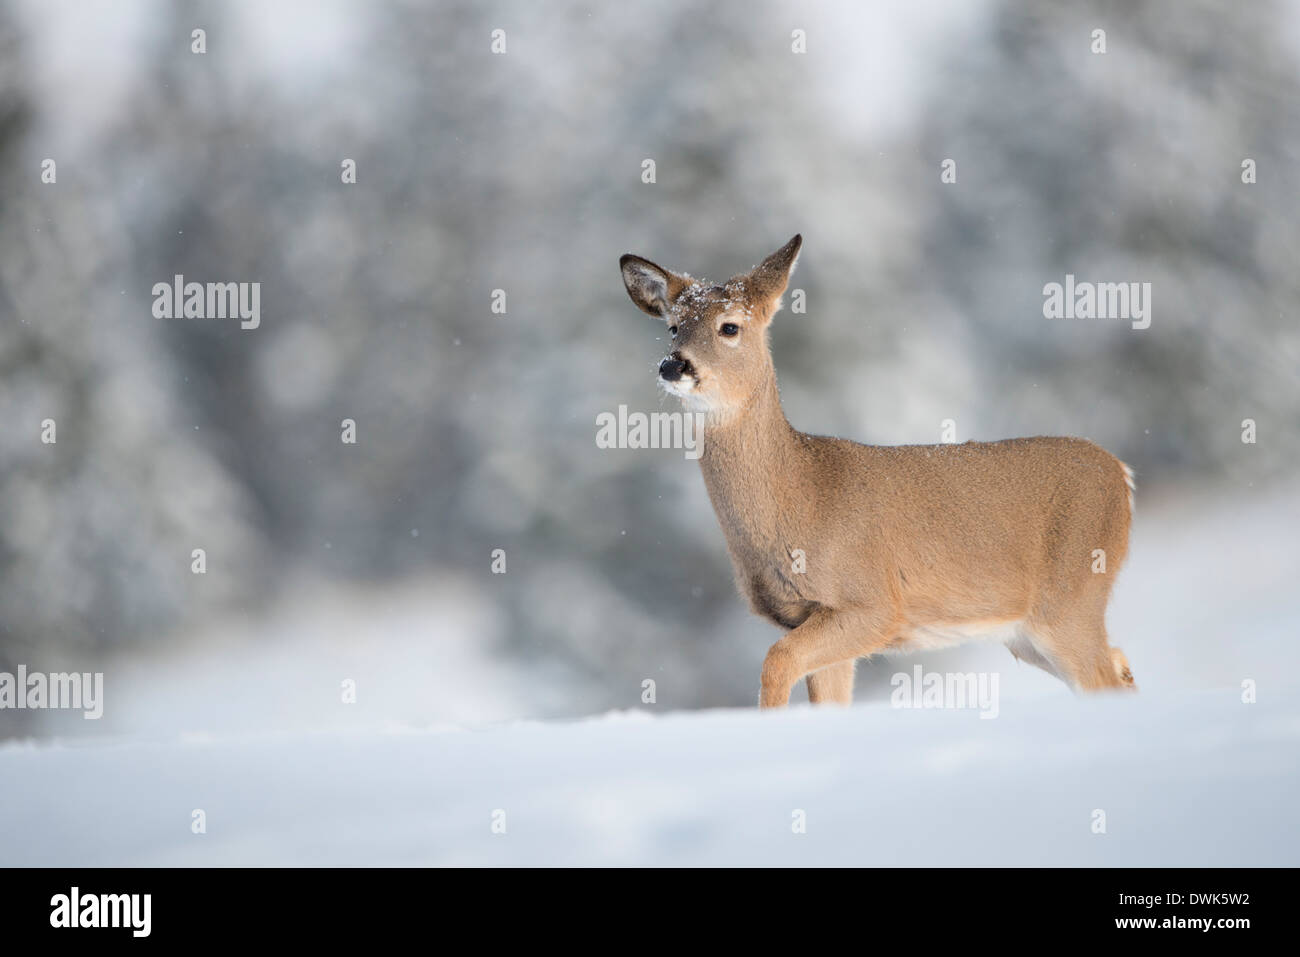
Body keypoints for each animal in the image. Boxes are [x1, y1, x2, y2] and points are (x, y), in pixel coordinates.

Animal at [619, 235, 1137, 708]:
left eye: (729, 327)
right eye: (673, 327)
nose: (673, 365)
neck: (803, 494)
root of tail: (1122, 475)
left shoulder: (874, 604)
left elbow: (776, 661)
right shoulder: (815, 620)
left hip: (1070, 601)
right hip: (1027, 633)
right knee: (1122, 667)